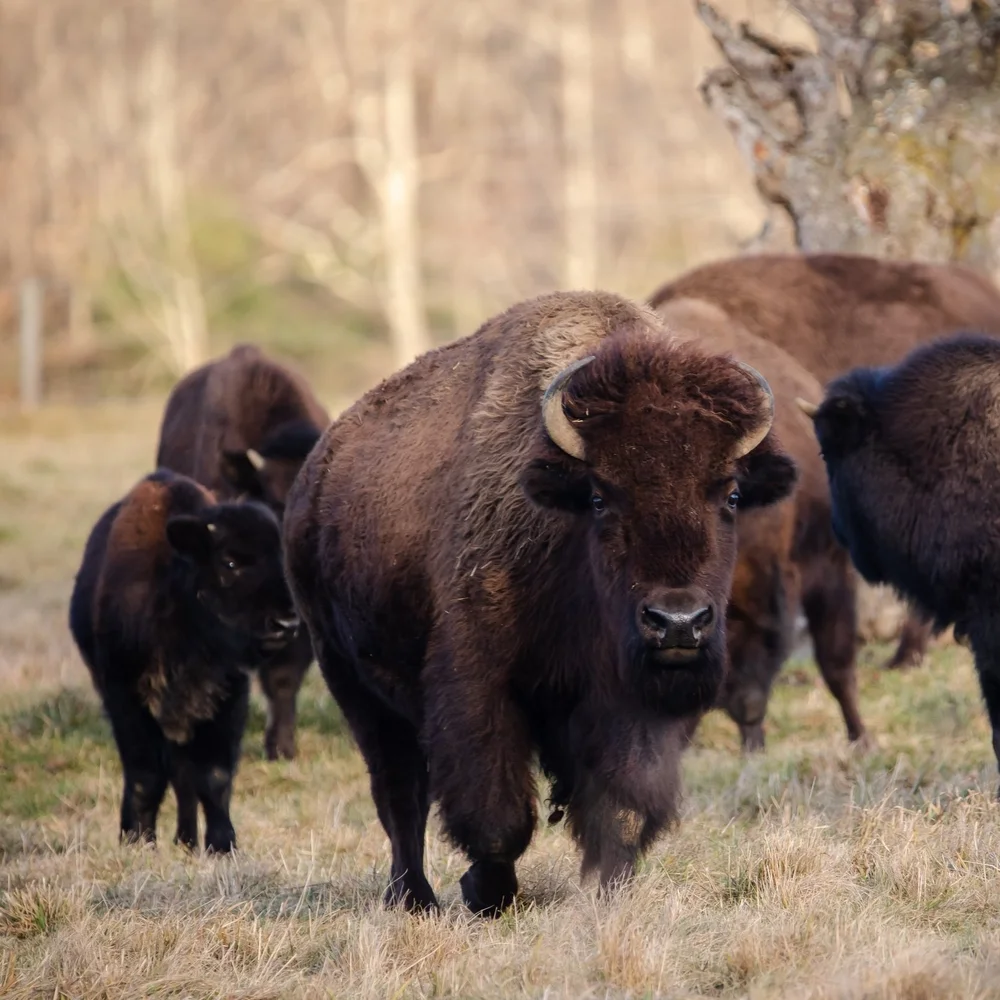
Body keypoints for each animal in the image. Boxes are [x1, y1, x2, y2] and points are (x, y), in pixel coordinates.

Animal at [69, 469, 300, 851]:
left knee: (185, 777)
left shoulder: (226, 698)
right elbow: (145, 776)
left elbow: (214, 777)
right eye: (230, 562)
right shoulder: (125, 698)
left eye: (282, 558)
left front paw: (222, 845)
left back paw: (186, 841)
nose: (286, 623)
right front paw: (137, 840)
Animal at [283, 291, 797, 915]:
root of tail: (315, 475)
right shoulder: (479, 687)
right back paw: (414, 897)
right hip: (347, 676)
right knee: (399, 793)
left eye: (731, 494)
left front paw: (608, 894)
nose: (677, 622)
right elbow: (497, 817)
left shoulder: (632, 704)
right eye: (600, 496)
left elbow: (622, 810)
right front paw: (485, 893)